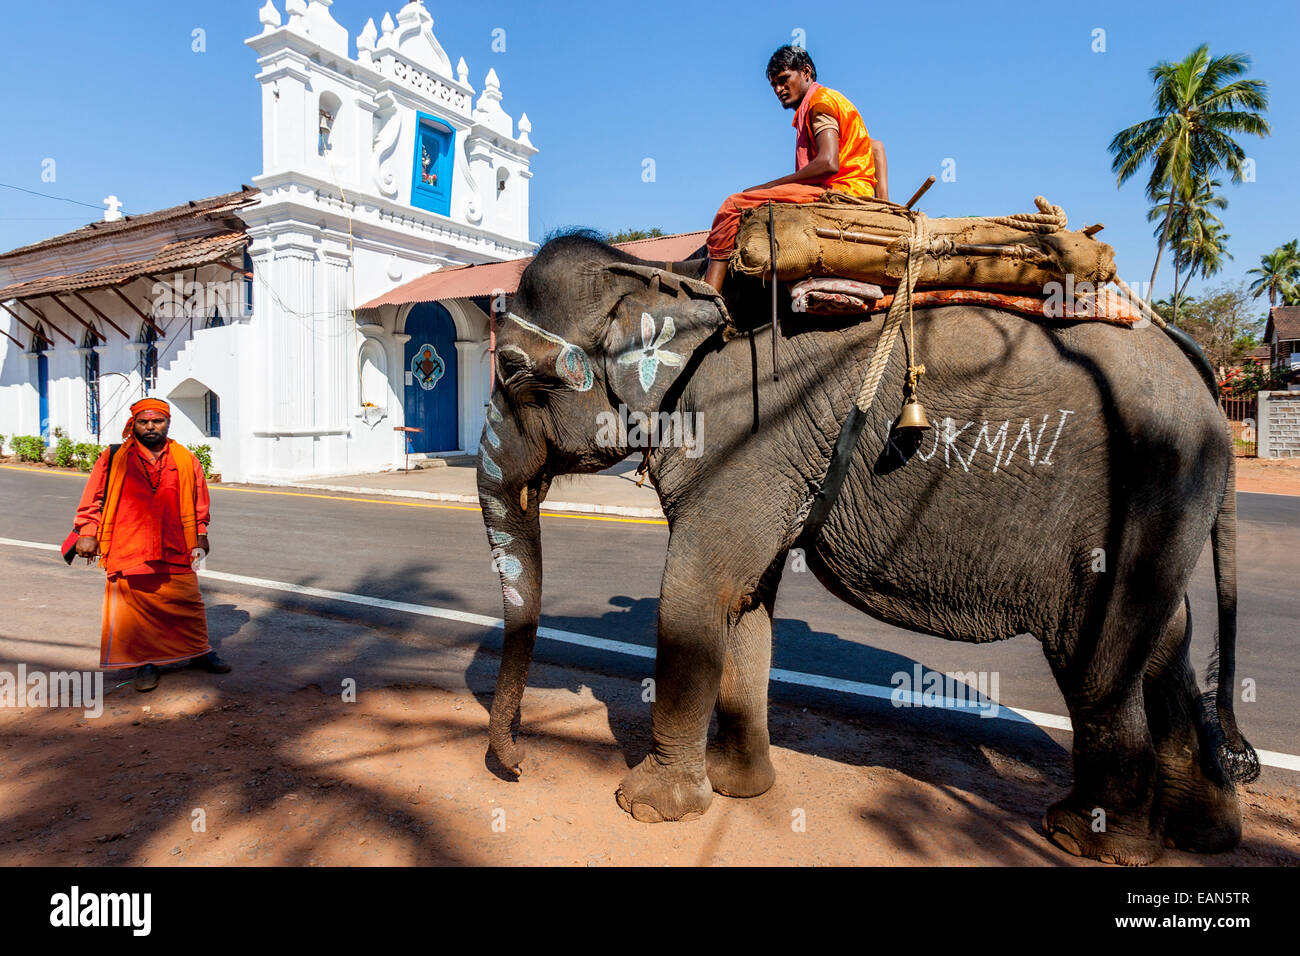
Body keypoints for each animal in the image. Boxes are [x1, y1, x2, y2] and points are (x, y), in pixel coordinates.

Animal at [475, 230, 1257, 865]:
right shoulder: (770, 458)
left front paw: (648, 808)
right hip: (1171, 506)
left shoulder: (743, 436)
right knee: (1169, 640)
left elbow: (697, 592)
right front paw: (739, 790)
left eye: (512, 371)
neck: (662, 273)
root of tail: (1200, 371)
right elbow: (747, 602)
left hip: (1143, 490)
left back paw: (1085, 838)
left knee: (1097, 657)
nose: (515, 766)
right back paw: (1205, 833)